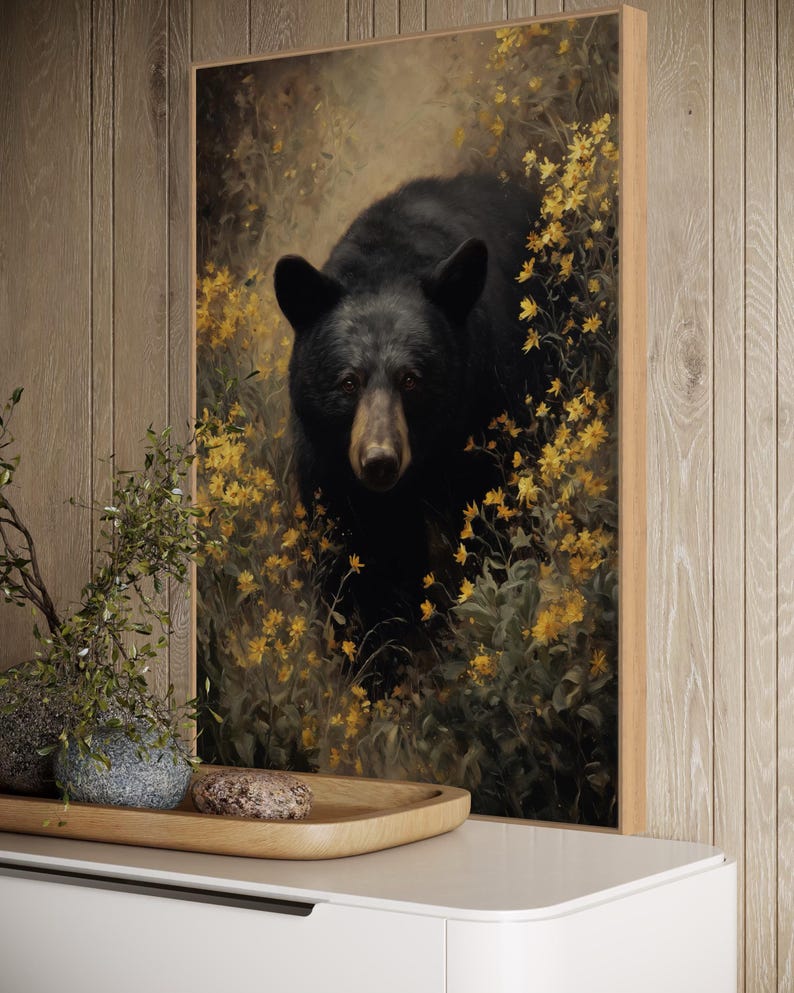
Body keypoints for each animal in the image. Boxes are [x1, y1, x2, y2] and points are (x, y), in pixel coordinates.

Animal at [274, 173, 547, 673]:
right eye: (348, 382)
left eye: (411, 379)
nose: (379, 460)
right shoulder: (332, 472)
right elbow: (360, 570)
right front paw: (373, 665)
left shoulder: (481, 422)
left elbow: (493, 527)